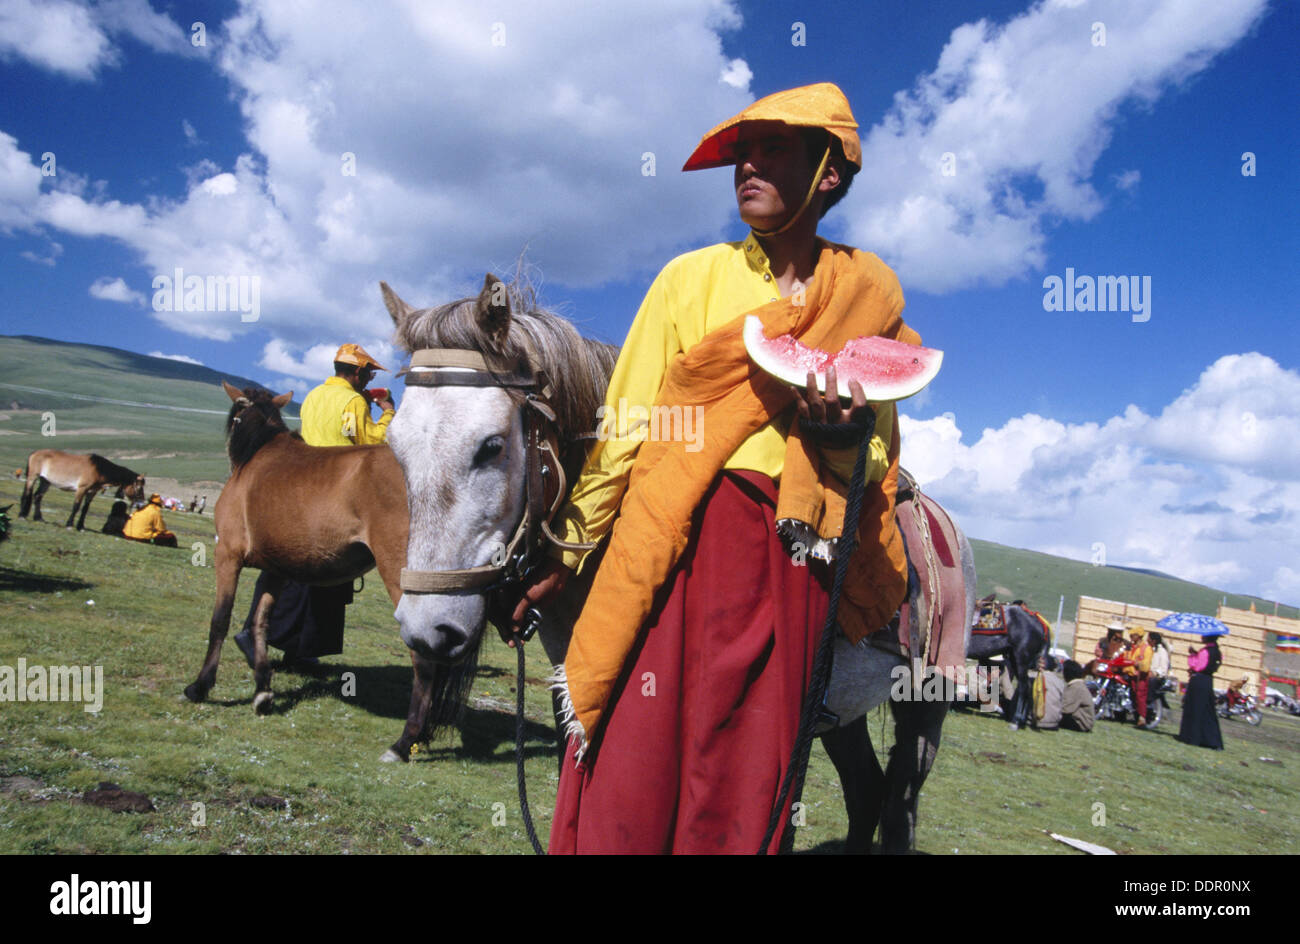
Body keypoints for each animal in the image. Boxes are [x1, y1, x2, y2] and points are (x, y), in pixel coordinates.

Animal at [182, 382, 466, 758]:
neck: (256, 456)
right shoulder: (276, 570)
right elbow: (259, 622)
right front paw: (263, 690)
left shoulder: (226, 555)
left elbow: (220, 620)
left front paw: (200, 686)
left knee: (423, 654)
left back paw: (404, 742)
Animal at [382, 273, 975, 853]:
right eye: (395, 447)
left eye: (491, 446)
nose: (427, 628)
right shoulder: (570, 677)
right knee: (865, 793)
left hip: (926, 700)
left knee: (898, 808)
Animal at [967, 595, 1048, 728]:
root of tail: (1039, 623)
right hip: (1014, 659)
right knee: (1027, 686)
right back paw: (1021, 720)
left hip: (1021, 660)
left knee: (1024, 687)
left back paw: (1015, 721)